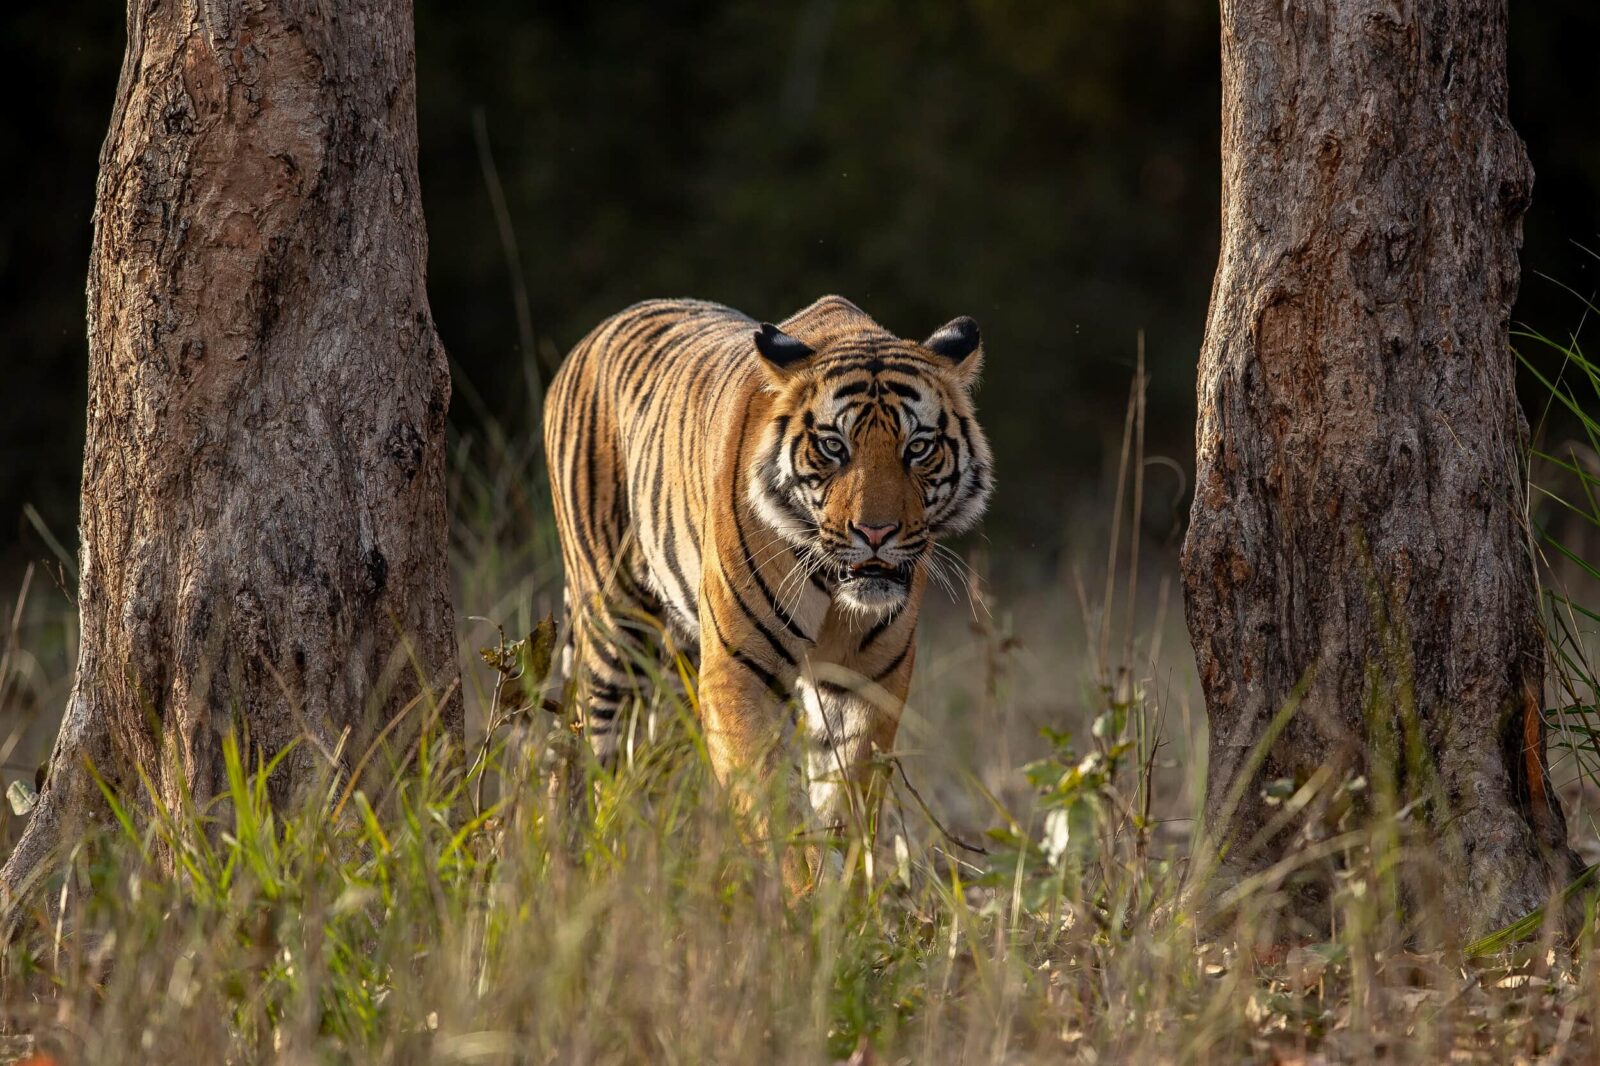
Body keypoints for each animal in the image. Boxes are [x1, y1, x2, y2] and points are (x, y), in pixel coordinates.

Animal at [543, 295, 992, 888]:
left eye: (917, 448)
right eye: (833, 446)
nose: (875, 533)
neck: (835, 586)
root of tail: (594, 335)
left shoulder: (868, 680)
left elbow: (846, 798)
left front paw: (842, 893)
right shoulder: (740, 670)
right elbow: (768, 796)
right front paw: (799, 890)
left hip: (679, 658)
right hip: (614, 629)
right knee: (597, 757)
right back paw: (597, 864)